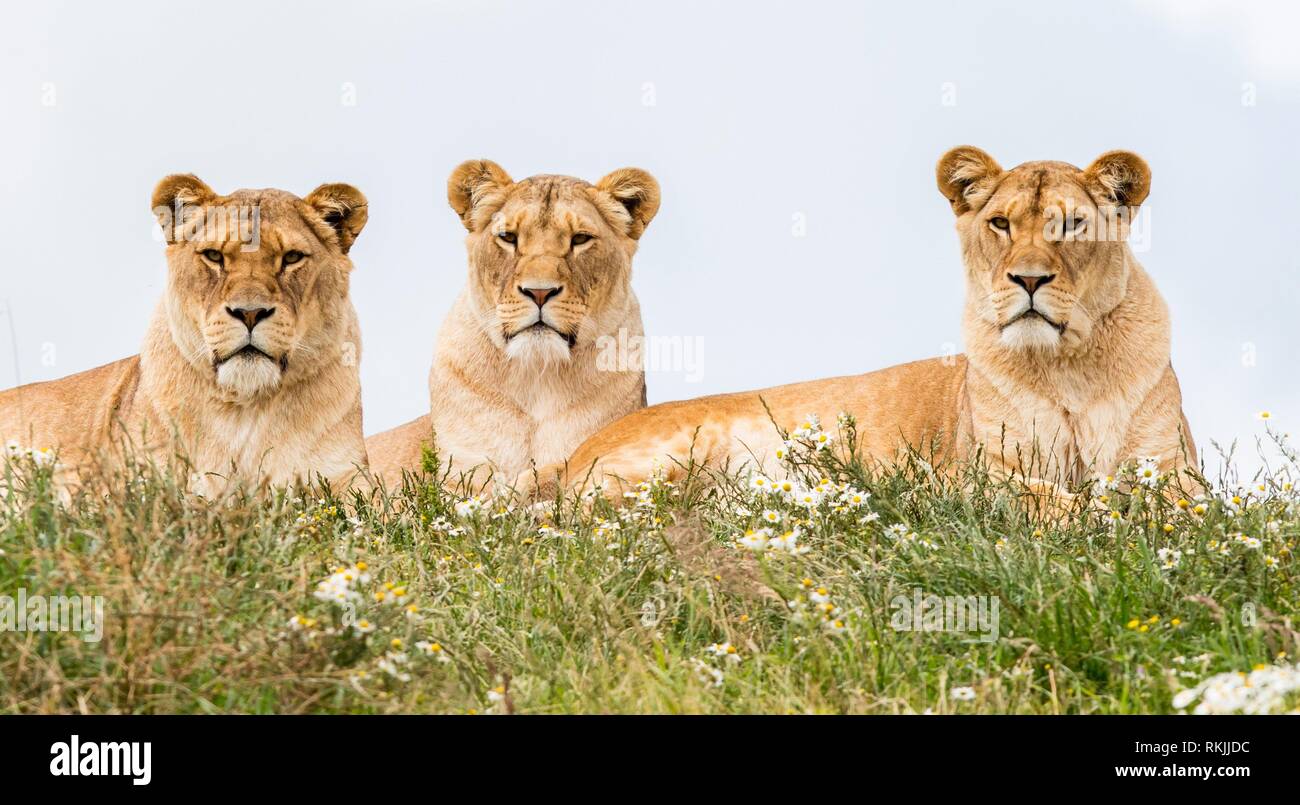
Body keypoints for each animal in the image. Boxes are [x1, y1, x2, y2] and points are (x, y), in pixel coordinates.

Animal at [545, 147, 1197, 499]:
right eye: (1001, 224)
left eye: (1071, 225)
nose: (1028, 281)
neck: (1069, 368)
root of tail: (577, 451)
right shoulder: (981, 475)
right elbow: (1063, 505)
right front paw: (1102, 516)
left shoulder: (1175, 472)